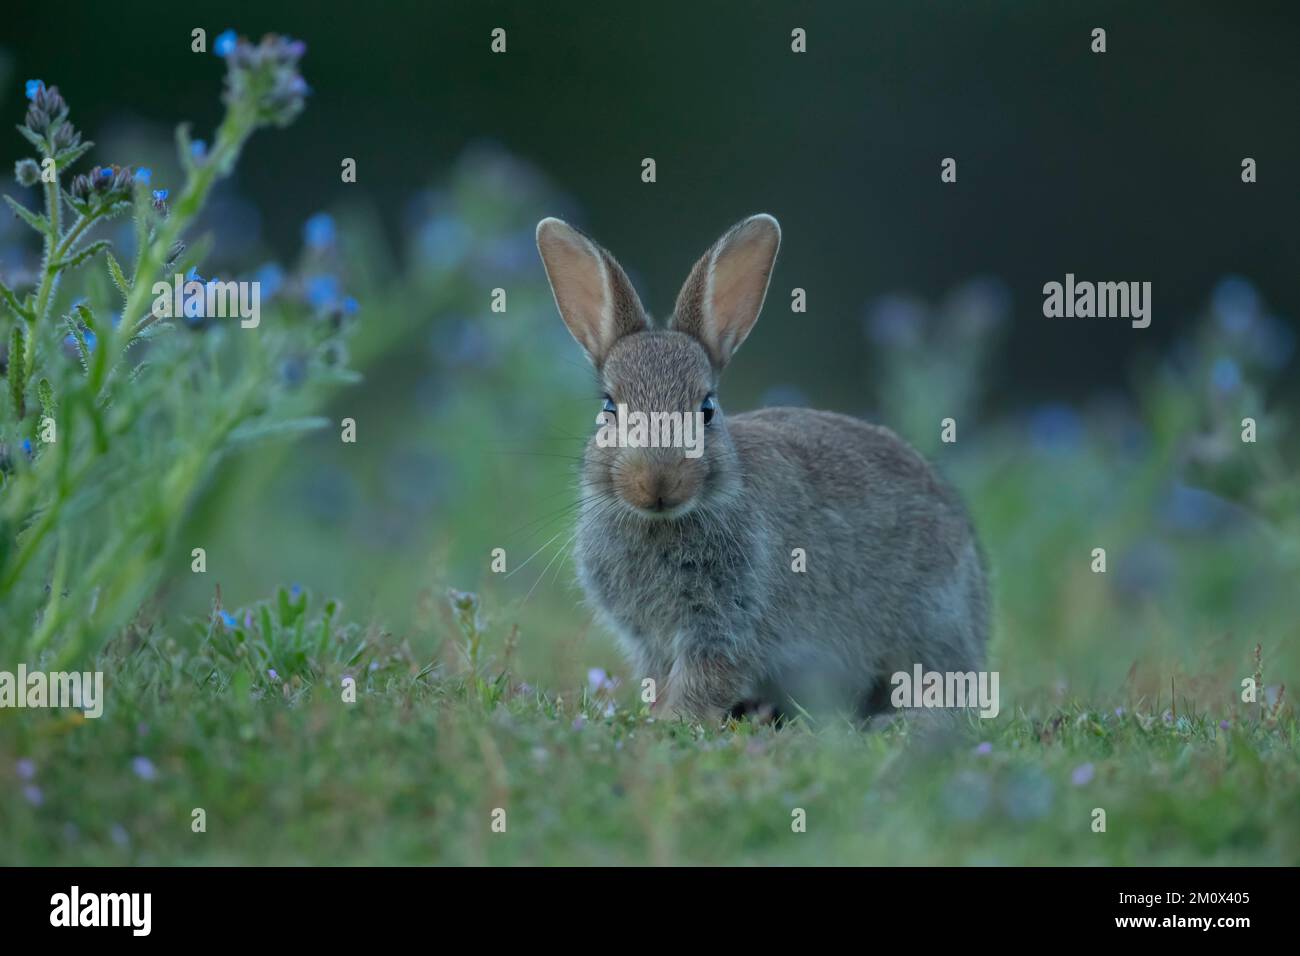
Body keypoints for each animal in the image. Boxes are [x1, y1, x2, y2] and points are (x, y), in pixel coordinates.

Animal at [535, 213, 989, 724]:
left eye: (706, 409)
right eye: (610, 409)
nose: (657, 482)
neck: (664, 523)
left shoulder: (727, 624)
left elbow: (706, 676)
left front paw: (673, 721)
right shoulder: (650, 638)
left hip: (930, 624)